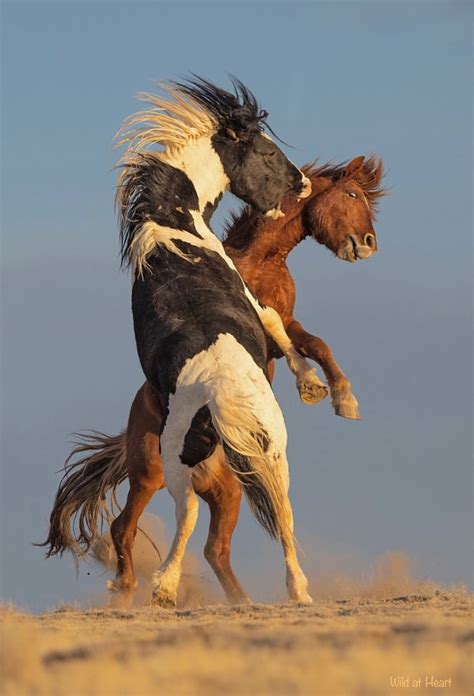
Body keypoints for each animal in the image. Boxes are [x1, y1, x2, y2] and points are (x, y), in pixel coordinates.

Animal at [41, 151, 385, 606]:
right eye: (351, 195)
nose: (368, 243)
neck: (260, 262)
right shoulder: (263, 325)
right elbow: (304, 341)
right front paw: (331, 392)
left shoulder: (282, 326)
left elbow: (315, 343)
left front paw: (332, 393)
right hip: (150, 475)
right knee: (125, 527)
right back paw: (131, 589)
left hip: (228, 491)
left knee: (214, 549)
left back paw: (240, 600)